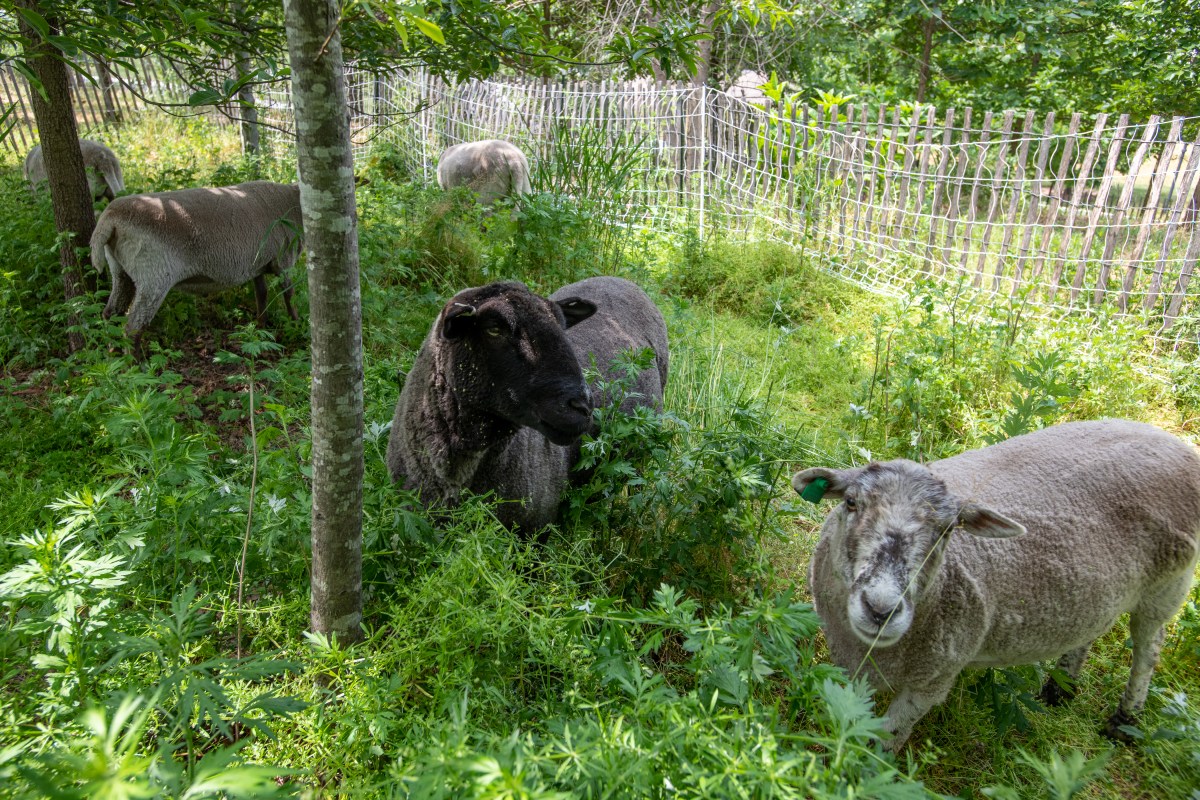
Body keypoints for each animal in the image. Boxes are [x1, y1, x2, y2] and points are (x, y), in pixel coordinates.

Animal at [90, 181, 303, 348]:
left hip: (120, 270)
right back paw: (139, 369)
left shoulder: (257, 264)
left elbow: (261, 295)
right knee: (132, 328)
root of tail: (109, 218)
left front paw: (260, 330)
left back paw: (112, 353)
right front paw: (297, 327)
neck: (294, 201)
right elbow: (290, 296)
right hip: (154, 275)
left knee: (110, 313)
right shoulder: (284, 259)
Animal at [792, 419, 1200, 753]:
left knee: (1149, 648)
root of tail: (1172, 440)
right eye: (850, 502)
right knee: (1094, 627)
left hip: (1168, 586)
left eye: (949, 530)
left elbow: (887, 738)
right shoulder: (845, 659)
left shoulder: (932, 681)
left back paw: (1124, 720)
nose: (881, 609)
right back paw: (1060, 689)